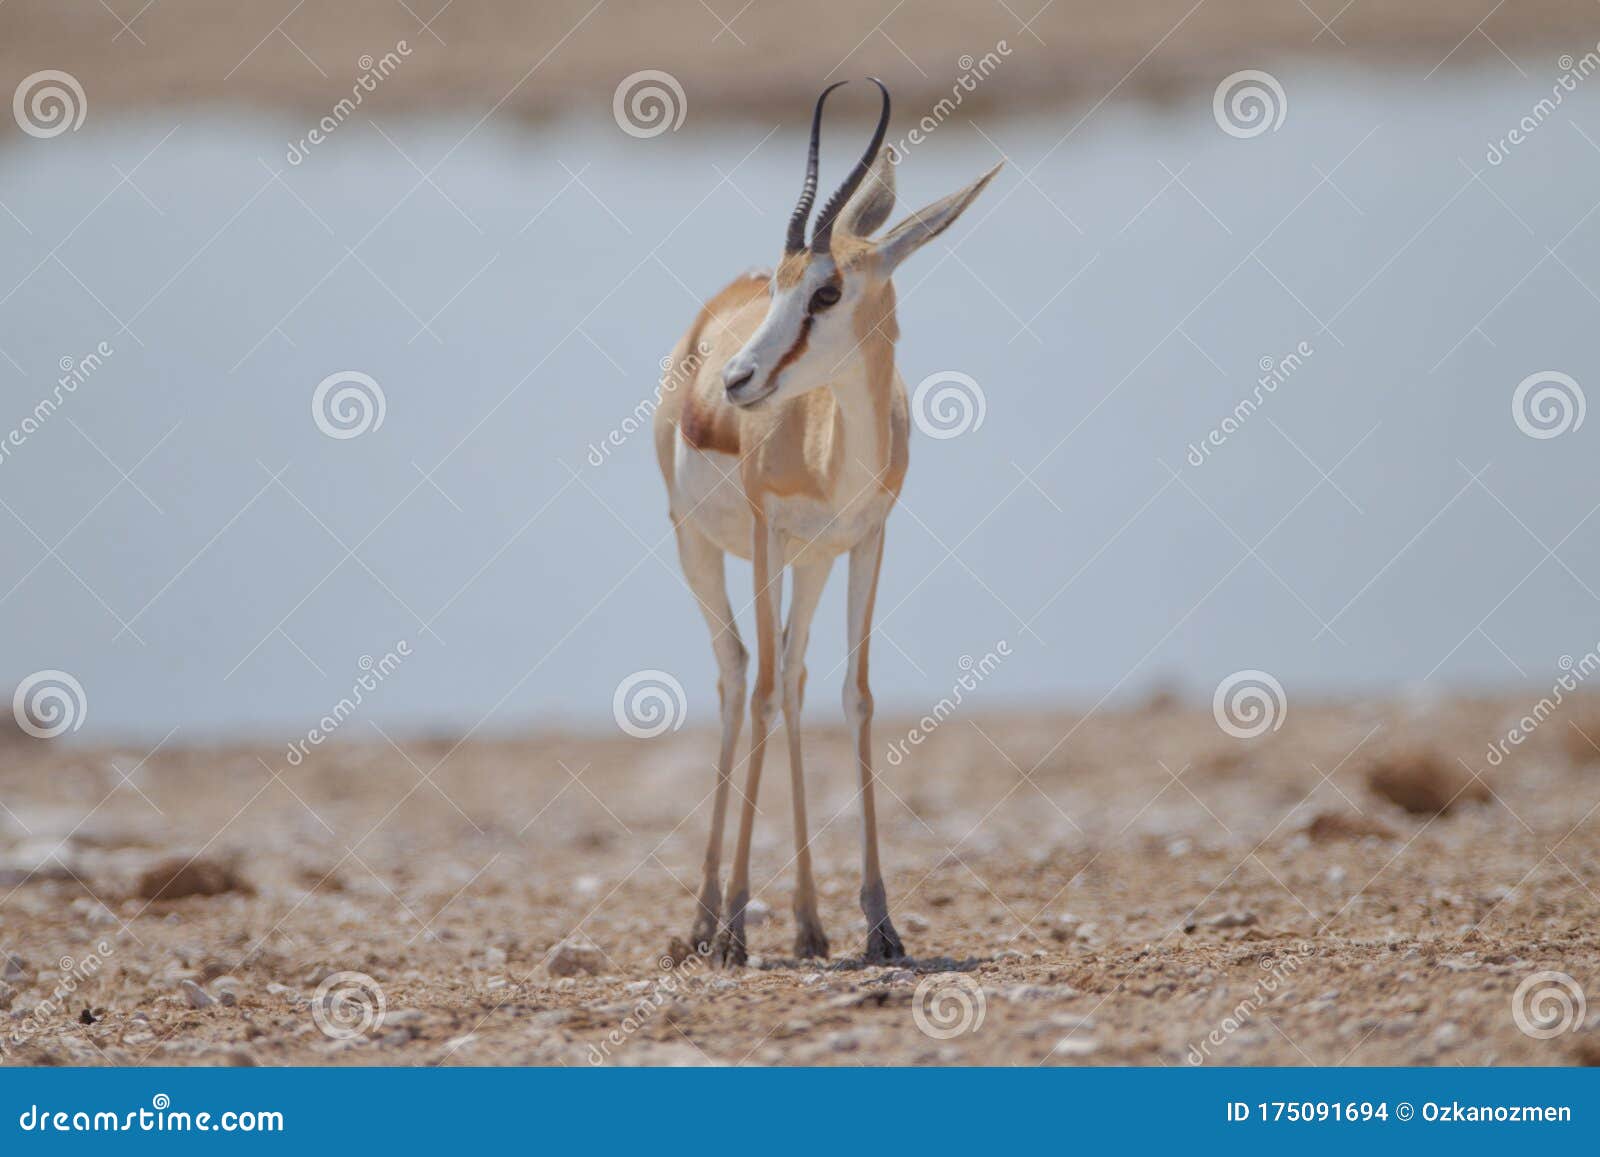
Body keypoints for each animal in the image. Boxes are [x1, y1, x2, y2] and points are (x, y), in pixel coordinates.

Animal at [653, 78, 999, 966]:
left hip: (809, 563)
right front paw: (735, 928)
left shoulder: (868, 540)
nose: (738, 380)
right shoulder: (766, 535)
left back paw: (809, 922)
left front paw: (880, 923)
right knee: (741, 675)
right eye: (782, 286)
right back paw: (705, 922)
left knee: (795, 674)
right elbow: (763, 691)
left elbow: (856, 694)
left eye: (828, 290)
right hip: (701, 547)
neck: (826, 449)